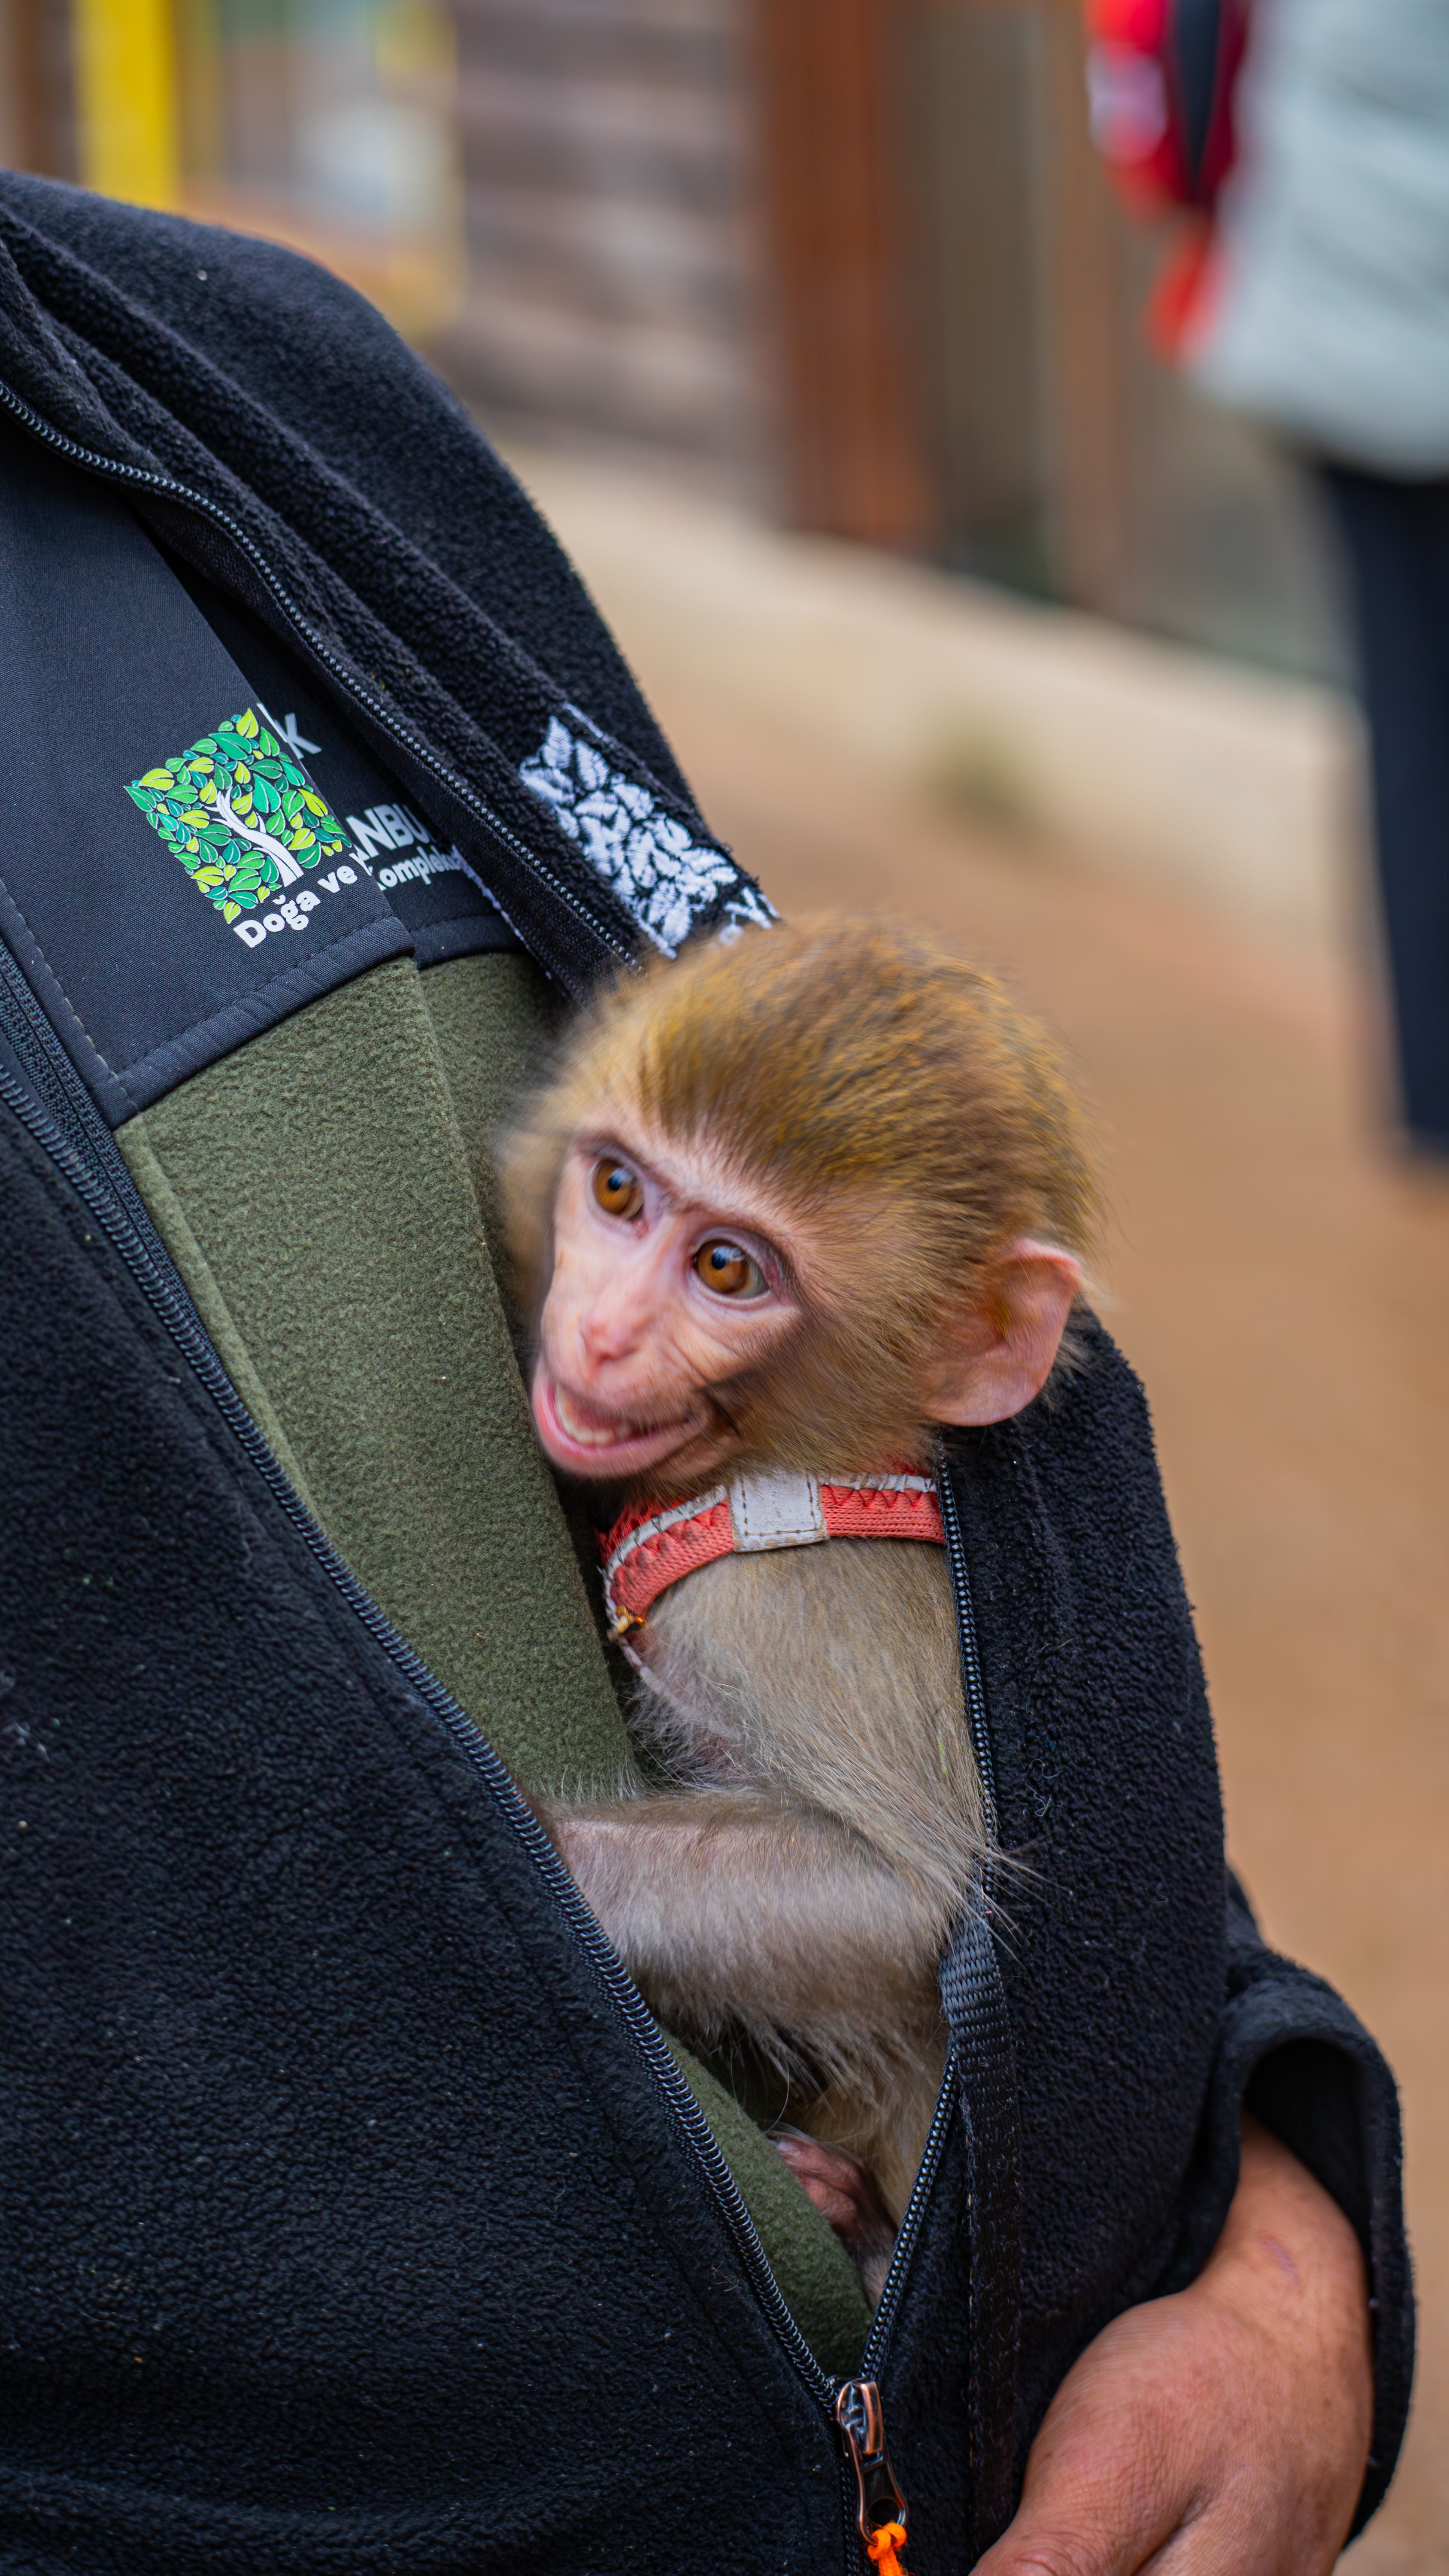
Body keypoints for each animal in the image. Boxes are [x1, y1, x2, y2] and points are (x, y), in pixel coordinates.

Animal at [500, 916, 1099, 2297]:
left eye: (728, 1268)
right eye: (620, 1193)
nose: (601, 1334)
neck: (799, 1464)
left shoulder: (769, 1613)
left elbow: (911, 1897)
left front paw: (527, 1847)